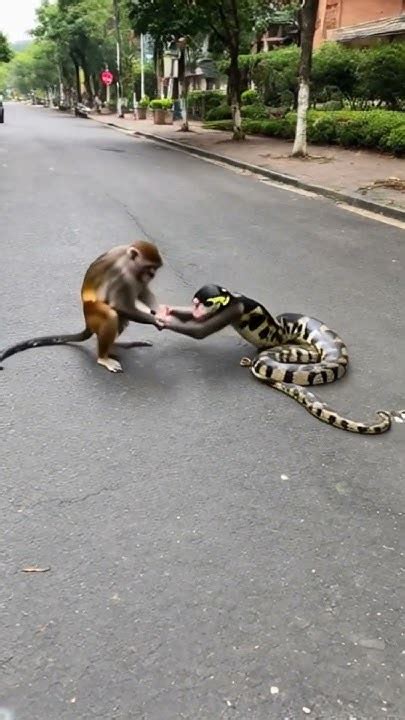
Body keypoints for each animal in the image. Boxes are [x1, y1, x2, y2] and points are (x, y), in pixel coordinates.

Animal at [0, 240, 164, 373]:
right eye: (149, 267)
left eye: (155, 268)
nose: (152, 275)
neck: (127, 261)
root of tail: (87, 321)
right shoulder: (123, 275)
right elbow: (119, 305)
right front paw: (157, 321)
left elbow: (142, 291)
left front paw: (161, 312)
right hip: (92, 313)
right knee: (110, 314)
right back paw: (103, 357)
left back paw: (114, 345)